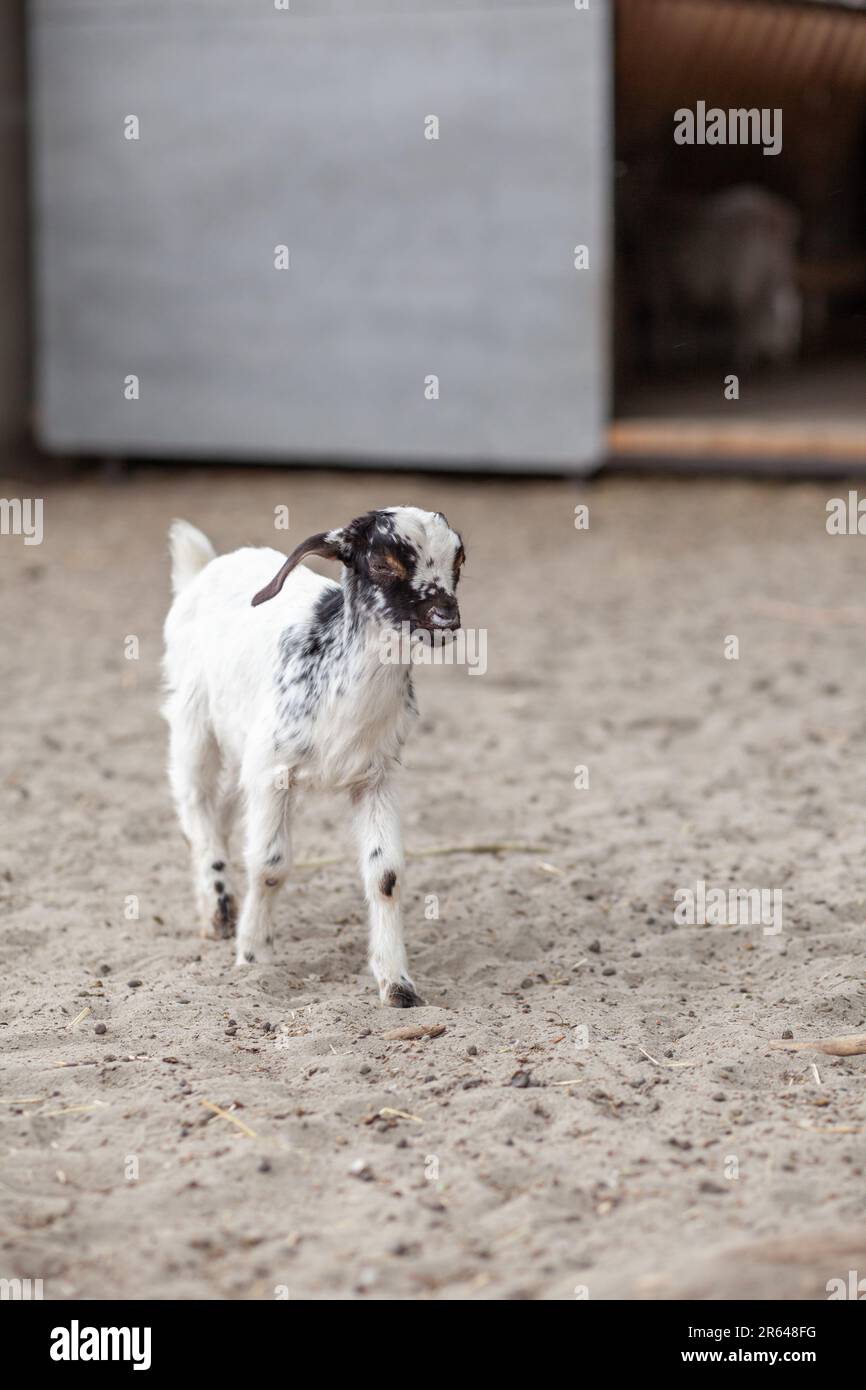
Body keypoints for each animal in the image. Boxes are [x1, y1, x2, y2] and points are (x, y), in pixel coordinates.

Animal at [162, 507, 465, 1007]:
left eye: (458, 560)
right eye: (381, 562)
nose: (446, 617)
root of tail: (203, 567)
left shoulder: (376, 777)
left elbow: (385, 875)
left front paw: (397, 984)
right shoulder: (271, 772)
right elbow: (269, 865)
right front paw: (253, 956)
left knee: (222, 809)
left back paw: (218, 910)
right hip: (193, 719)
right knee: (196, 802)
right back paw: (219, 908)